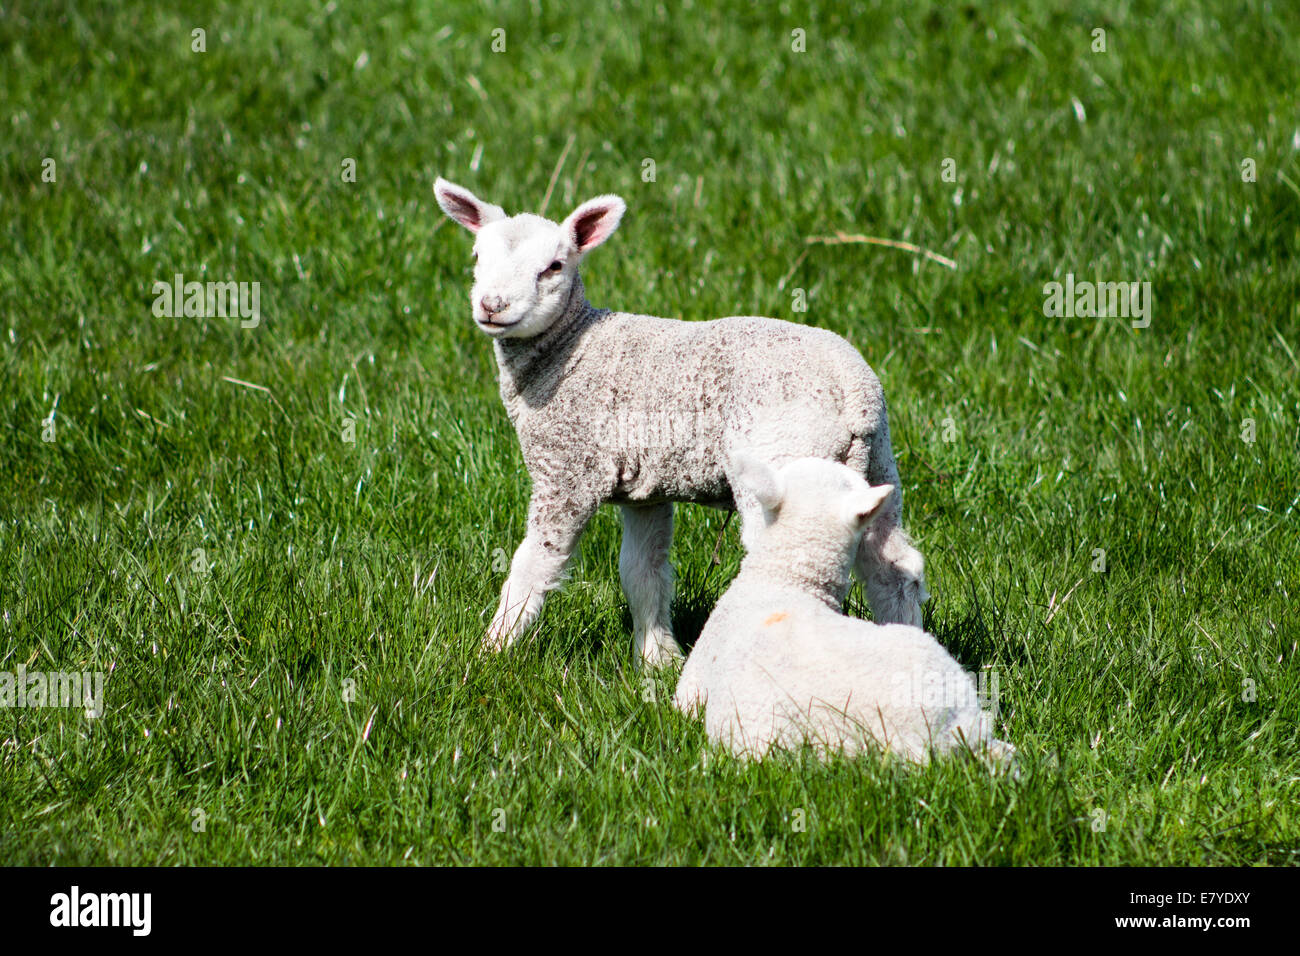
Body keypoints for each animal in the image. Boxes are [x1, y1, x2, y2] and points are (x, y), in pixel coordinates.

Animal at [433, 177, 928, 667]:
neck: (567, 351)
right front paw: (658, 659)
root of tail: (854, 391)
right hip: (877, 462)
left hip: (786, 455)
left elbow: (534, 563)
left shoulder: (568, 471)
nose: (492, 305)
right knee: (895, 568)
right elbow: (643, 573)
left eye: (554, 267)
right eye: (476, 257)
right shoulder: (643, 489)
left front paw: (490, 651)